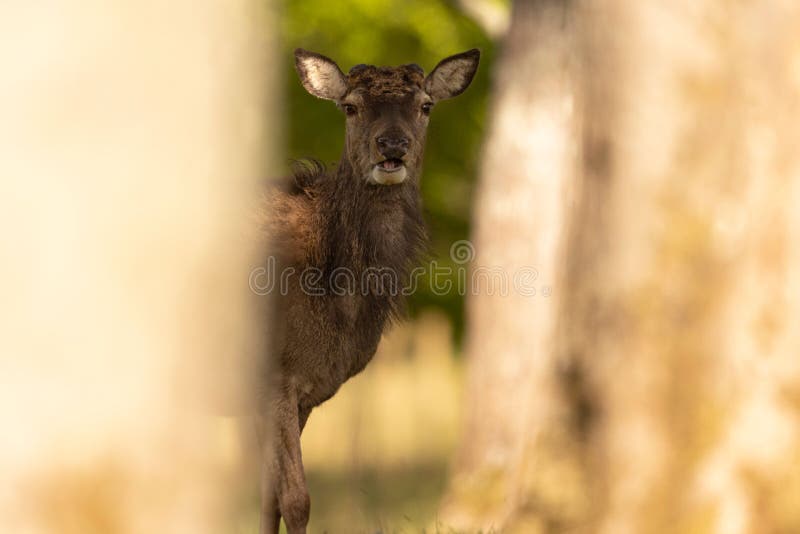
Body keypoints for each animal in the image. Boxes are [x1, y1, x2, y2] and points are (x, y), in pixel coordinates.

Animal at [256, 47, 480, 534]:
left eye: (425, 105)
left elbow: (269, 500)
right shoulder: (273, 375)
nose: (392, 146)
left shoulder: (303, 392)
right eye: (350, 107)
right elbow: (296, 500)